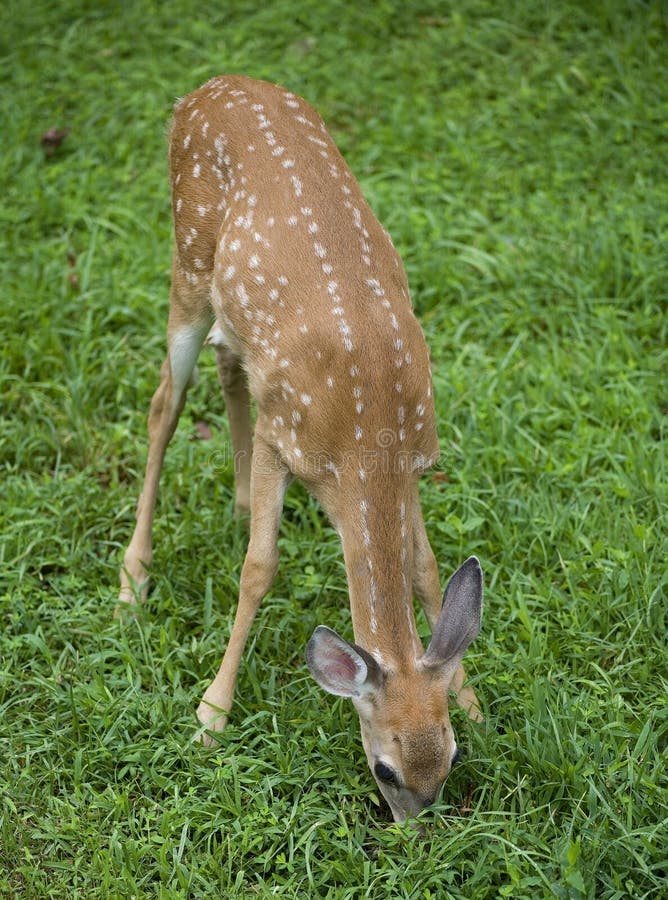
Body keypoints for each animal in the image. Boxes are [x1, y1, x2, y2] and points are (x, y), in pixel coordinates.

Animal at [119, 74, 484, 823]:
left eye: (451, 759)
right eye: (384, 770)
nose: (417, 837)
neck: (365, 438)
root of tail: (208, 86)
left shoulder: (416, 459)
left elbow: (425, 567)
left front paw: (472, 698)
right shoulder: (282, 437)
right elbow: (260, 568)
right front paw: (211, 713)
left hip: (235, 311)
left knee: (229, 367)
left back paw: (232, 504)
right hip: (187, 257)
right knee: (165, 403)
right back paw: (133, 575)